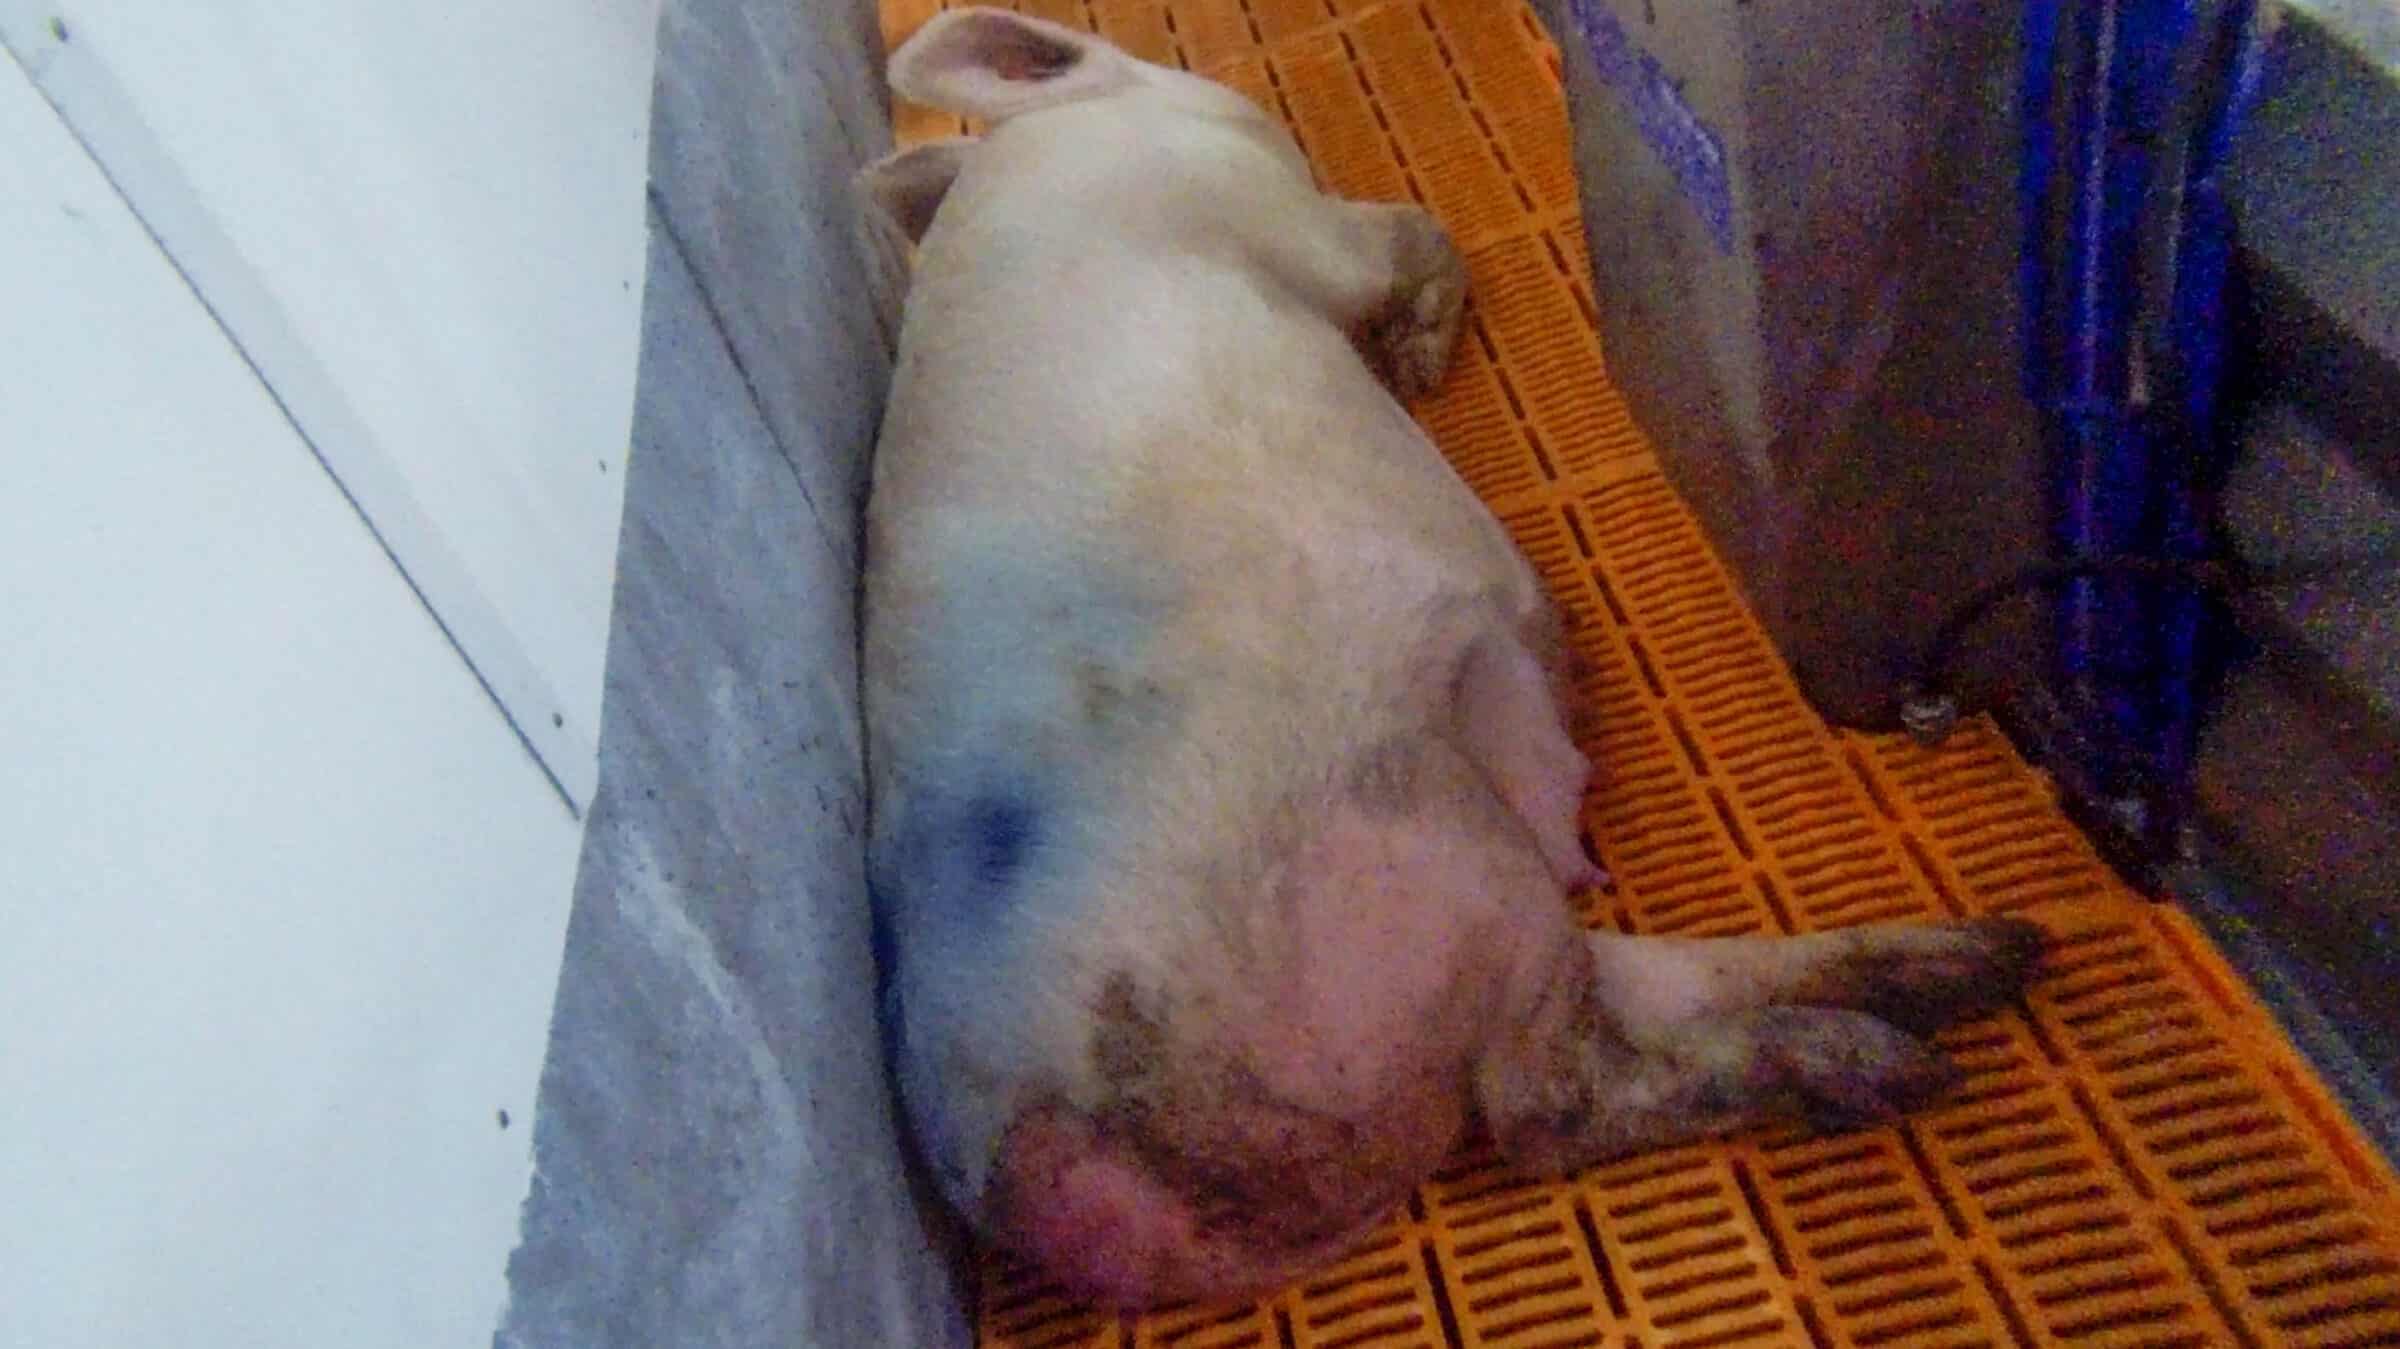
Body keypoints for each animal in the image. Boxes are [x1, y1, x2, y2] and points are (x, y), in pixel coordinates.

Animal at [856, 7, 2044, 1310]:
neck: (1069, 135)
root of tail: (1032, 1153)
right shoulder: (1306, 225)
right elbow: (1414, 225)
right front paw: (1417, 362)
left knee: (1631, 996)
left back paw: (1985, 956)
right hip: (1426, 853)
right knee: (1549, 1100)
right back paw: (1886, 1063)